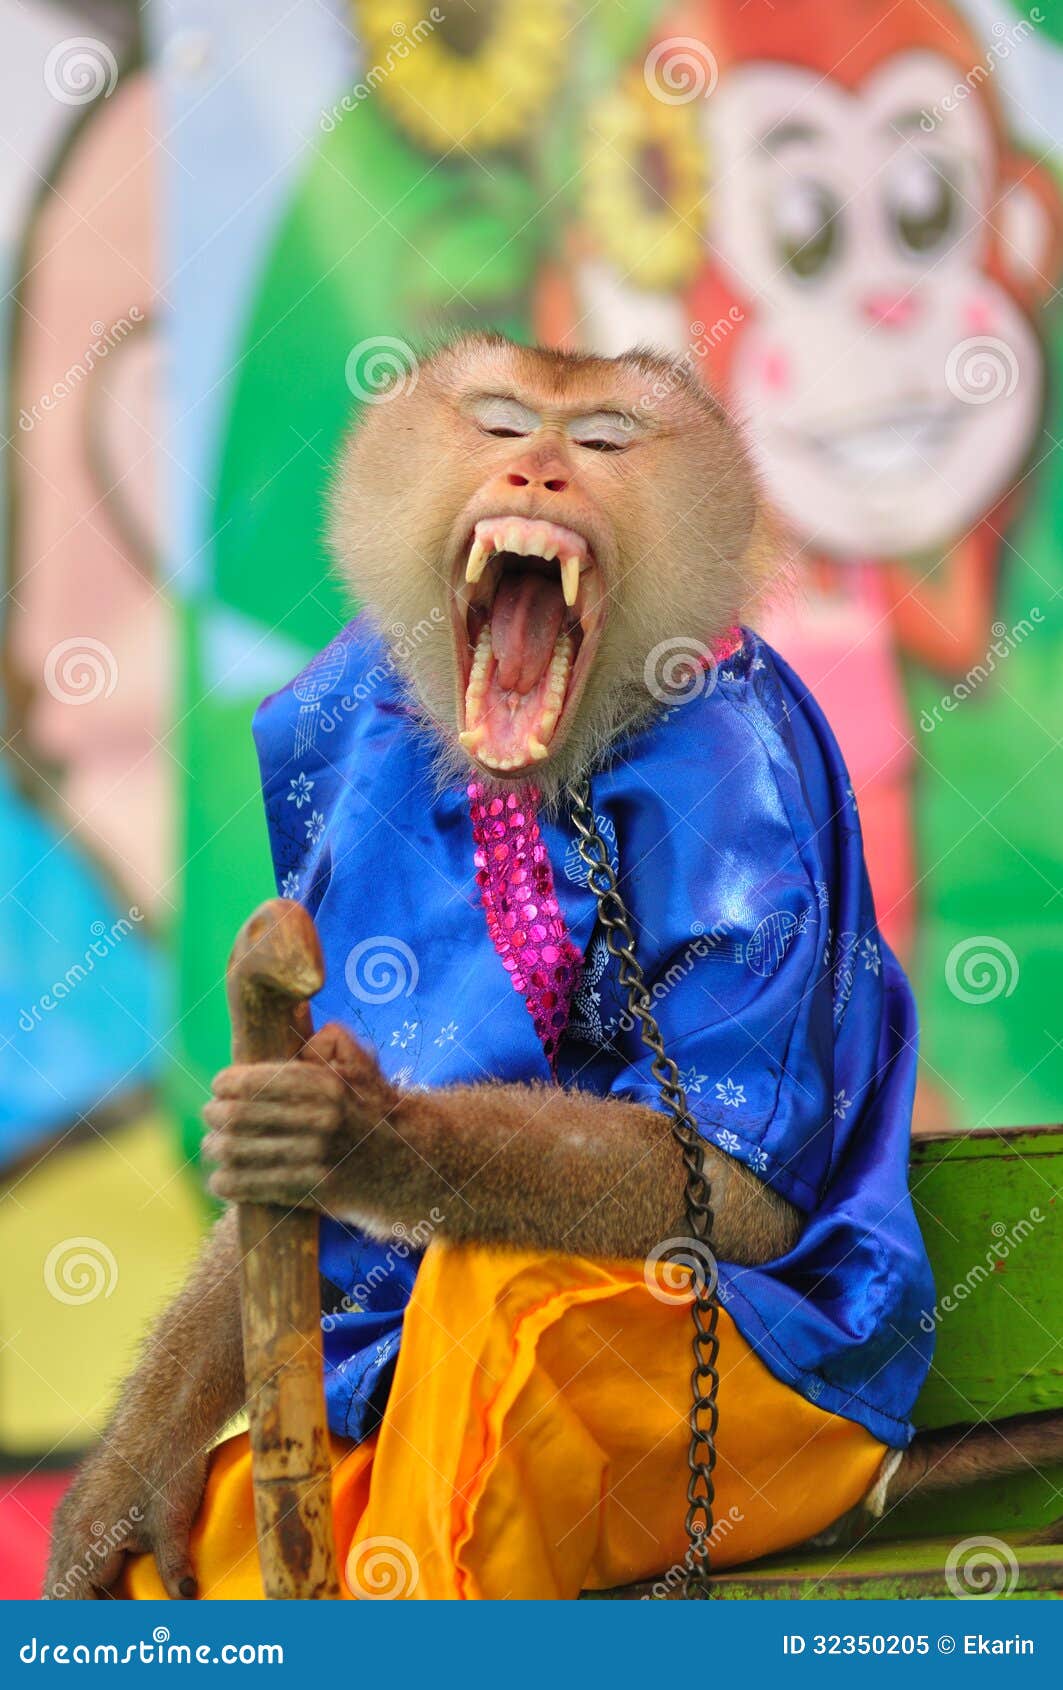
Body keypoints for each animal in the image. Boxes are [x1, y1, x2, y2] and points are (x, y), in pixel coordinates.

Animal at [46, 335, 1062, 1600]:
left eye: (601, 441)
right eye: (500, 423)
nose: (537, 474)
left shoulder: (752, 797)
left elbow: (722, 1186)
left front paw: (365, 1134)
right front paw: (129, 1476)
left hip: (768, 1452)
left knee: (511, 1284)